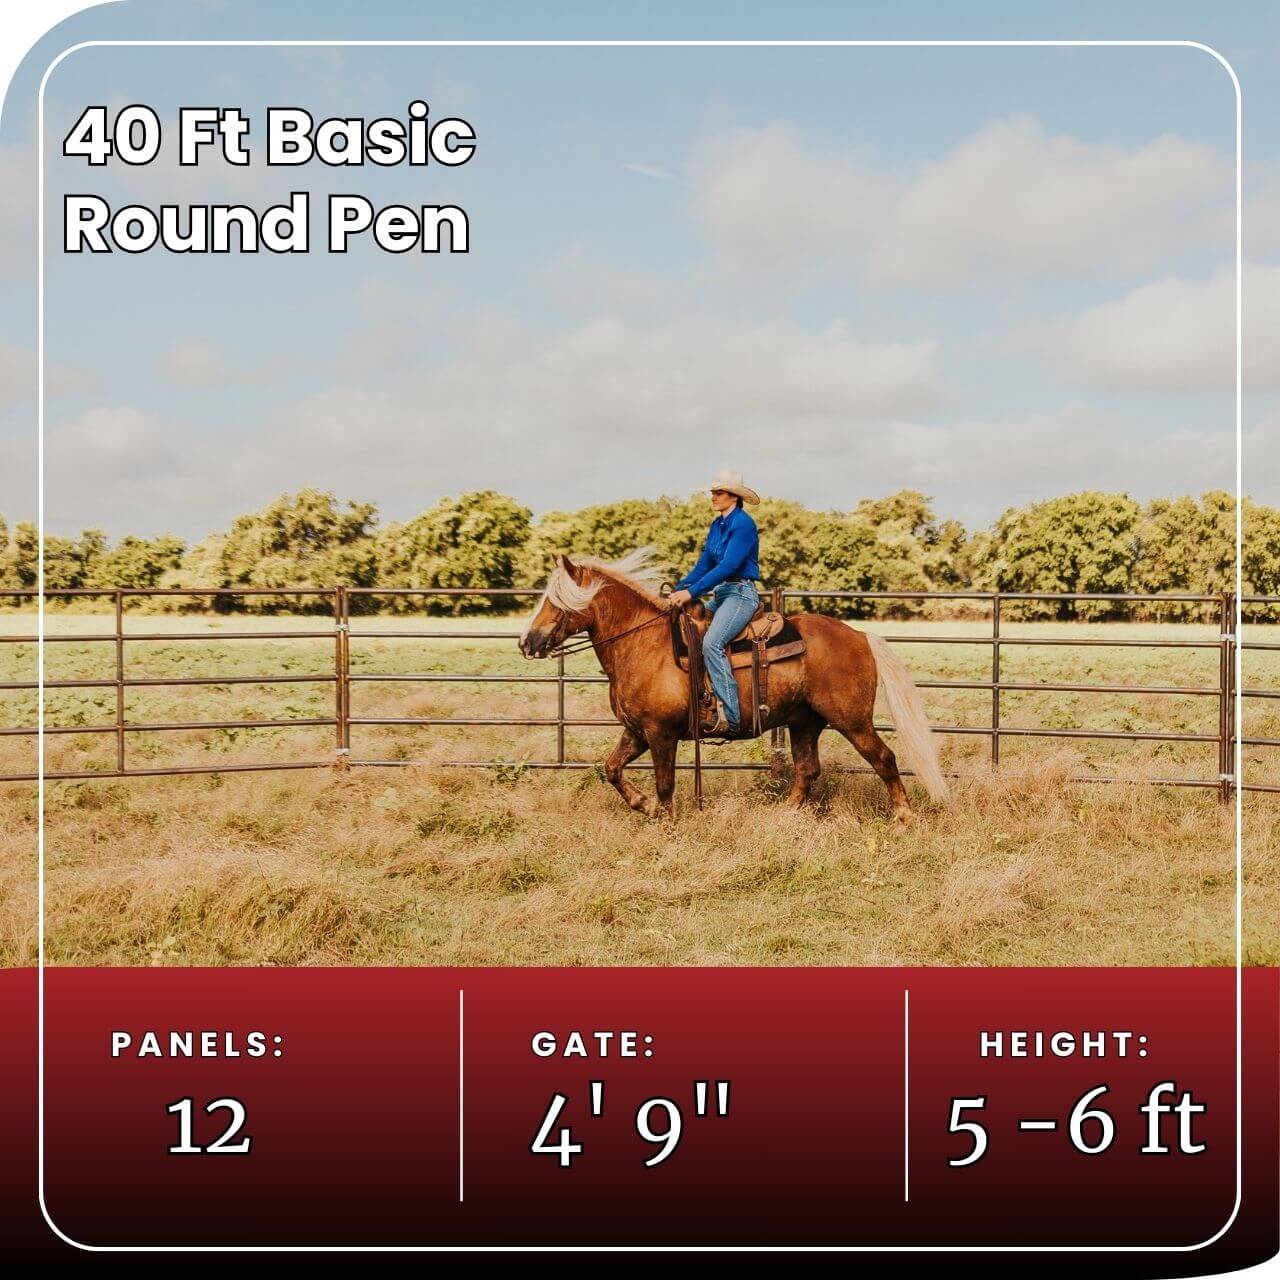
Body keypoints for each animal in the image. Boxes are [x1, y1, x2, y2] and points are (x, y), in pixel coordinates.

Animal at [518, 550, 949, 822]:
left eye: (556, 600)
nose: (527, 641)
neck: (644, 645)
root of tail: (860, 636)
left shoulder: (661, 733)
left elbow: (665, 783)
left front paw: (665, 823)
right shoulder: (637, 731)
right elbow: (611, 769)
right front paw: (644, 806)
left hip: (852, 720)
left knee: (884, 758)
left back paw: (904, 817)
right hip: (804, 722)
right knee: (807, 770)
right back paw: (784, 817)